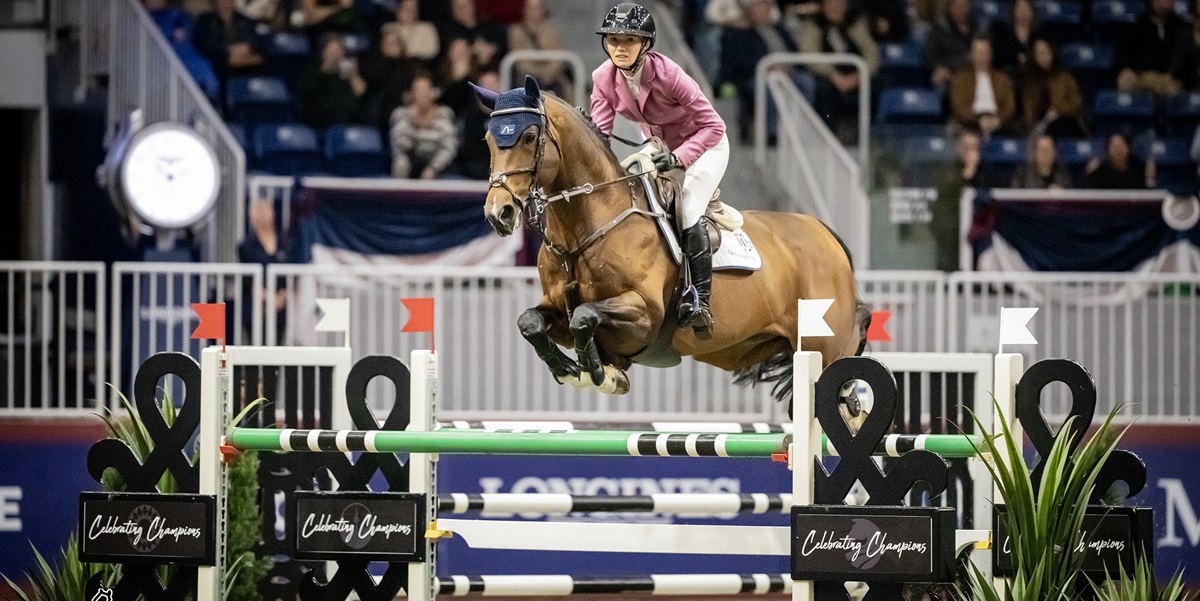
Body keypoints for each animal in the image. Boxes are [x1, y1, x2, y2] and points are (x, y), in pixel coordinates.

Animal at [474, 76, 871, 408]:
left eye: (529, 137)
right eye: (488, 140)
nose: (499, 213)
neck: (586, 227)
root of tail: (827, 235)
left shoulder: (644, 314)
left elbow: (585, 317)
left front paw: (599, 372)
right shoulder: (556, 307)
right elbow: (530, 322)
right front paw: (569, 369)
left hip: (826, 348)